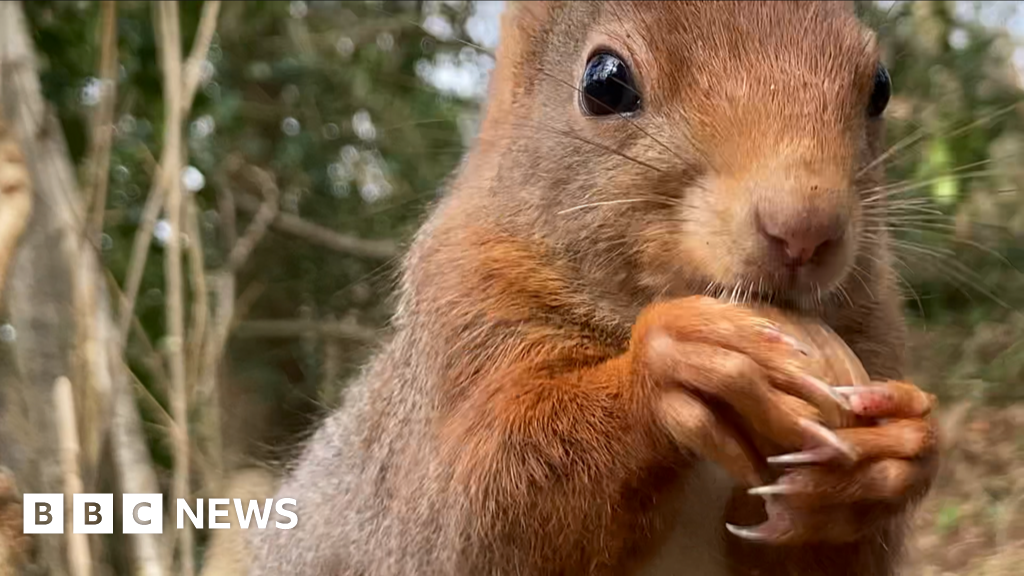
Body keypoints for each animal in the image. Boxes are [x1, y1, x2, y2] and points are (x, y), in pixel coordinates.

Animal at [249, 2, 939, 575]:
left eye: (880, 86)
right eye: (604, 82)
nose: (805, 228)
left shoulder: (874, 331)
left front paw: (894, 455)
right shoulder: (462, 310)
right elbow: (471, 511)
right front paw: (676, 362)